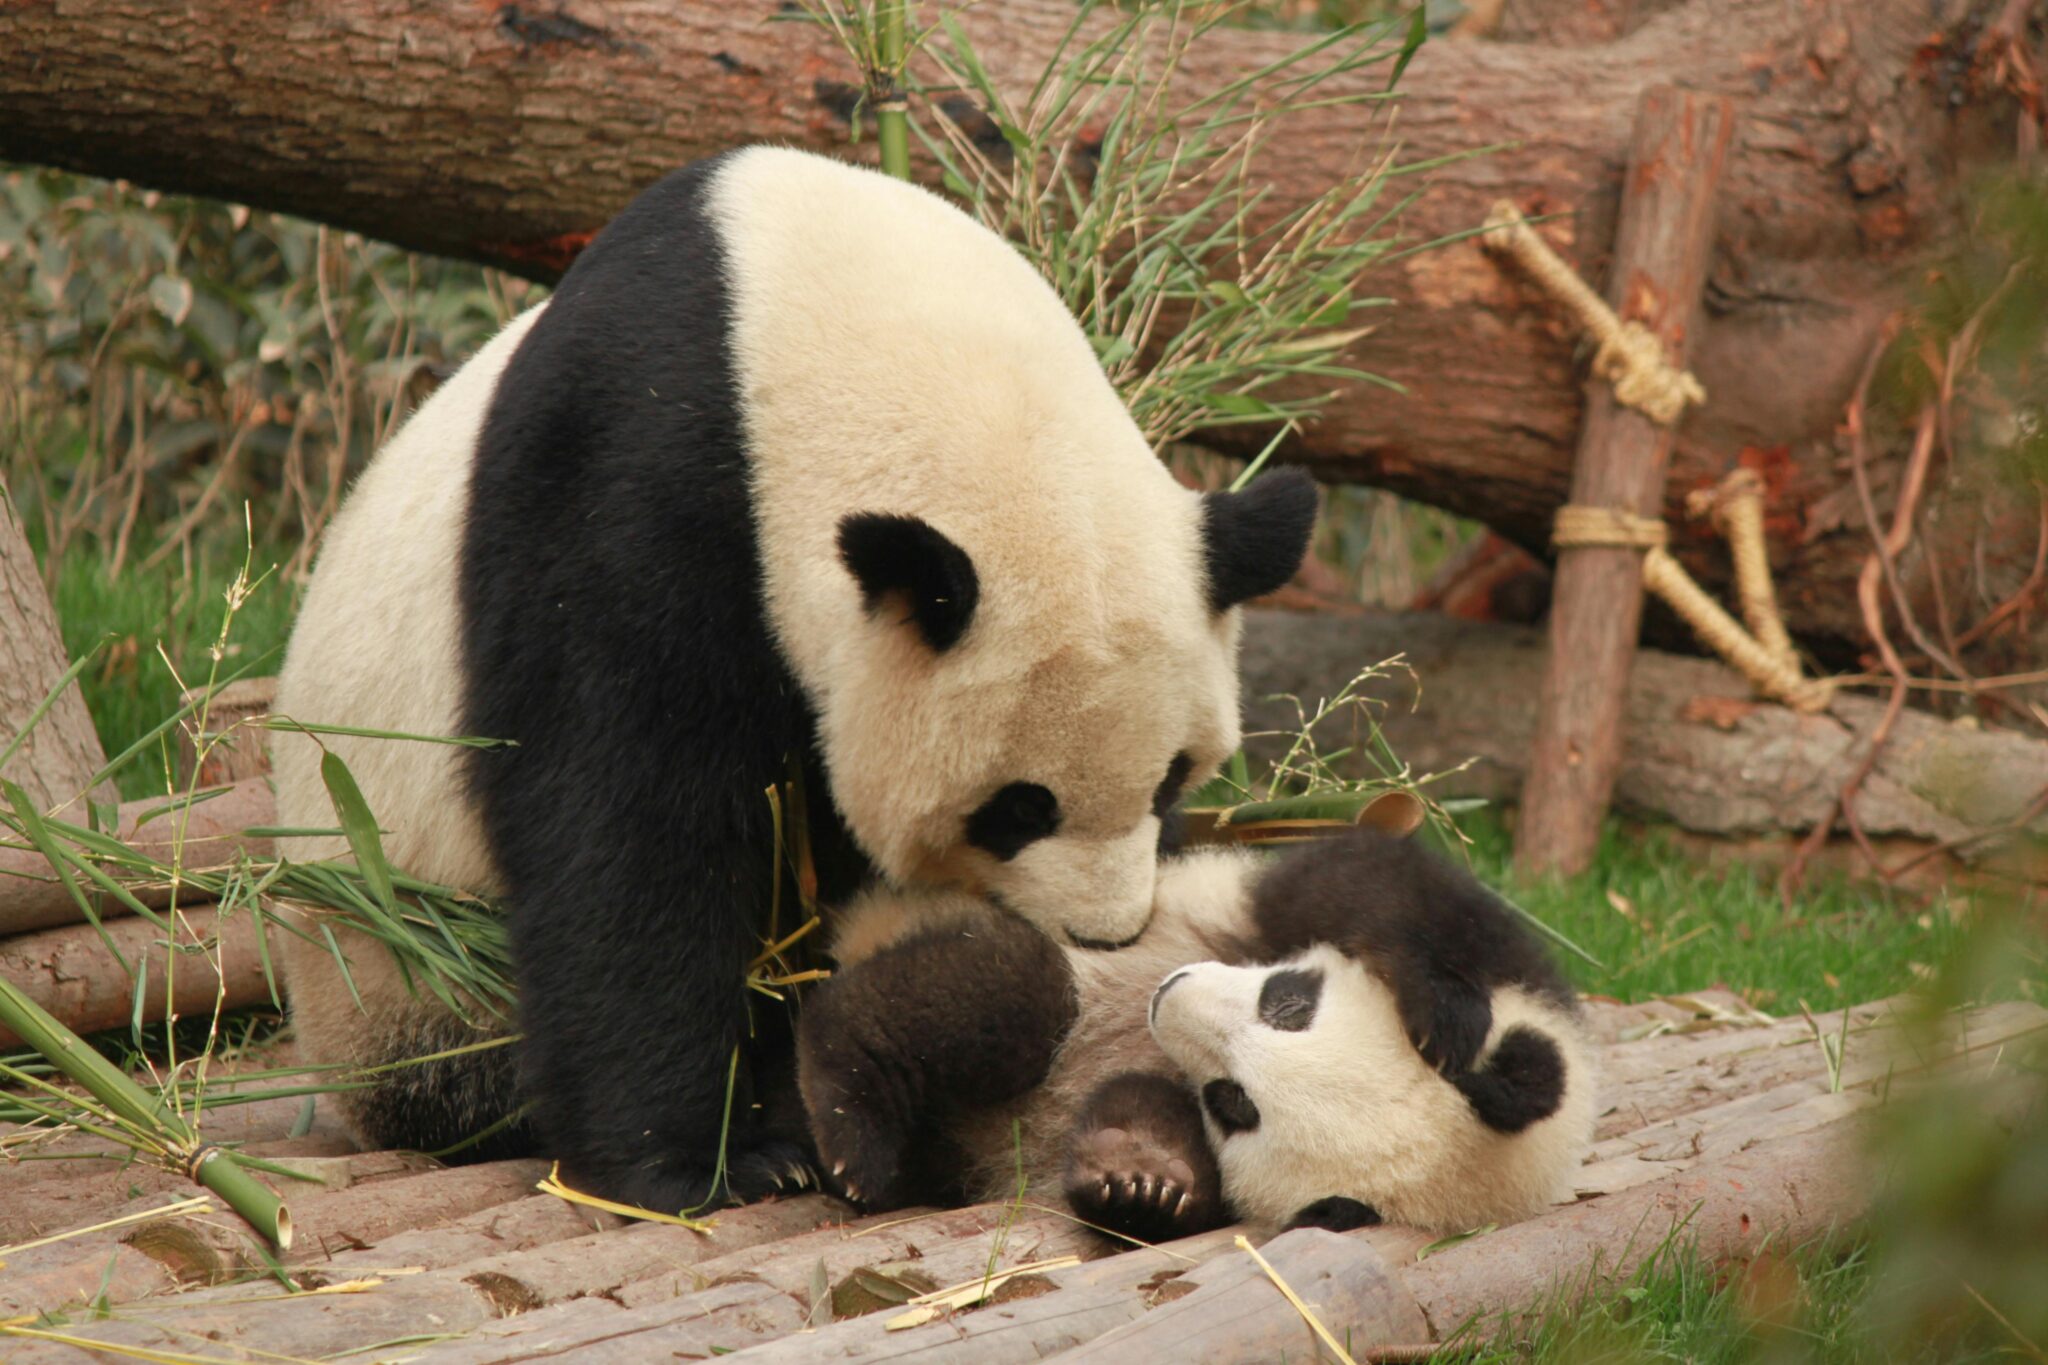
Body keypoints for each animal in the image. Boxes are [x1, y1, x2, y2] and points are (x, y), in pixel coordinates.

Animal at [267, 146, 1319, 1212]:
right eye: (1019, 806)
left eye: (1172, 778)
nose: (1104, 934)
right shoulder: (629, 483)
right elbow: (627, 828)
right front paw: (694, 1162)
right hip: (398, 959)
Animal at [796, 830, 1595, 1240]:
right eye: (1289, 1003)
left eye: (1233, 1102)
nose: (1169, 994)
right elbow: (1370, 882)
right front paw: (1441, 1008)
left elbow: (1153, 1125)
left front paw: (1141, 1178)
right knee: (1009, 996)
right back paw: (849, 1123)